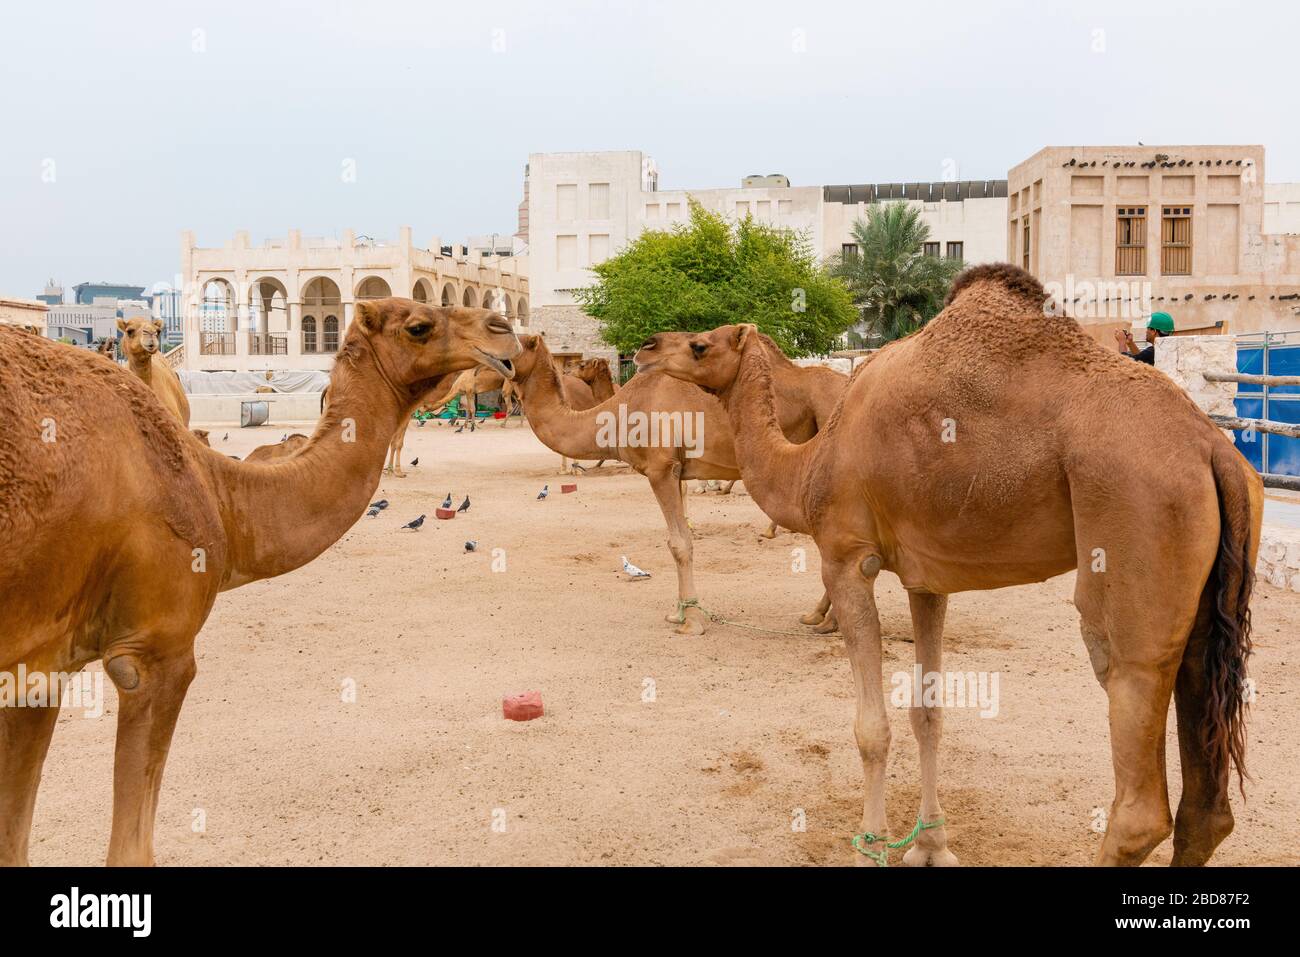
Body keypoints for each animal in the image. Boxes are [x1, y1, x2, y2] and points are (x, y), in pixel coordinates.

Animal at [0, 300, 519, 866]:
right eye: (418, 326)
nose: (504, 330)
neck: (221, 494)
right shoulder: (155, 652)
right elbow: (132, 849)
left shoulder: (40, 668)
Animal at [512, 333, 844, 635]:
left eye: (509, 337)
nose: (567, 372)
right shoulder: (679, 471)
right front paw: (678, 613)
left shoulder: (661, 468)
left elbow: (679, 543)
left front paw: (691, 622)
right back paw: (819, 616)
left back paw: (827, 619)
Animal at [634, 262, 1261, 867]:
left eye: (700, 345)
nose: (645, 346)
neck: (808, 465)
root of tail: (1215, 448)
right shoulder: (927, 580)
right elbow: (928, 713)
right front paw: (930, 845)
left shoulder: (846, 557)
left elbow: (872, 727)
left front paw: (870, 849)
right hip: (1206, 601)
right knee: (1206, 809)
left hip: (1134, 545)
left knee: (1137, 794)